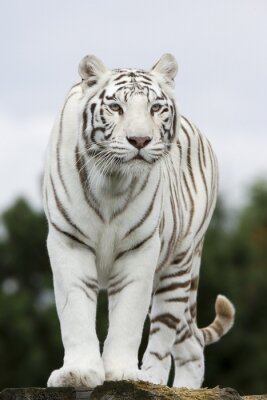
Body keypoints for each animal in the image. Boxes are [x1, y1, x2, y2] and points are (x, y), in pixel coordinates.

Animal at [43, 53, 236, 388]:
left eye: (155, 108)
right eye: (115, 107)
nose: (140, 140)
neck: (111, 181)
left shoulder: (140, 249)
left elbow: (128, 318)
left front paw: (122, 372)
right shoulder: (69, 242)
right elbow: (75, 312)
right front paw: (78, 372)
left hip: (177, 268)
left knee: (166, 339)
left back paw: (152, 380)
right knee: (191, 346)